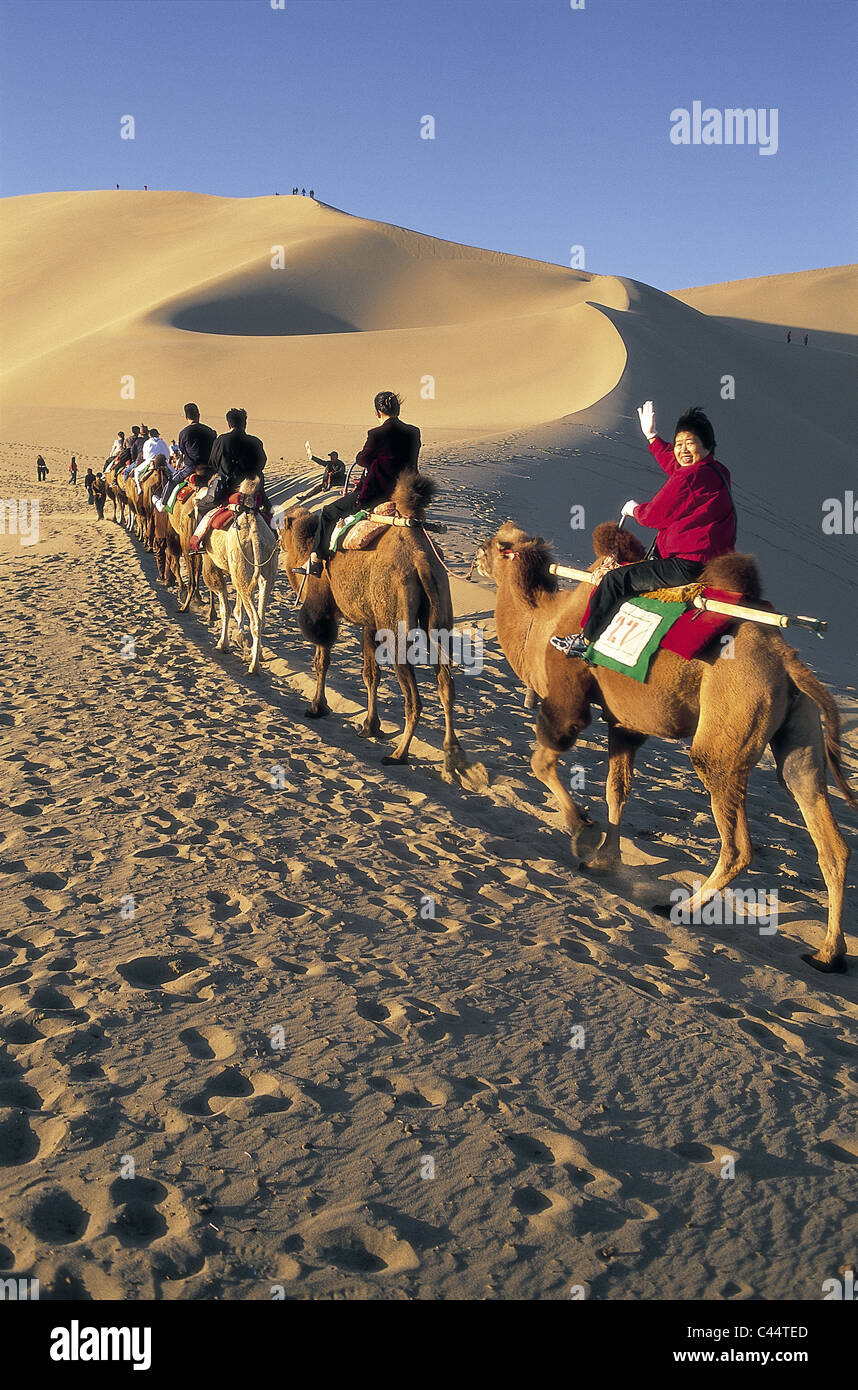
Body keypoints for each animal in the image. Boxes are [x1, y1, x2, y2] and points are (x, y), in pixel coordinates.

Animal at [200, 476, 279, 675]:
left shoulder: (212, 567)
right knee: (261, 616)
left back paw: (253, 667)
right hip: (265, 571)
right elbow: (237, 608)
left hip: (240, 567)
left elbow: (225, 609)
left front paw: (223, 644)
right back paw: (257, 655)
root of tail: (255, 536)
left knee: (256, 620)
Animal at [278, 473, 467, 775]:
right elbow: (371, 674)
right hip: (439, 614)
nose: (275, 540)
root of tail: (422, 561)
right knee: (446, 684)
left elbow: (322, 660)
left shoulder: (323, 610)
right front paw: (370, 725)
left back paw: (399, 754)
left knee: (413, 699)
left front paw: (317, 707)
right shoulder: (370, 622)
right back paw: (452, 753)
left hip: (396, 624)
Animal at [476, 520, 854, 973]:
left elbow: (542, 761)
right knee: (825, 833)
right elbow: (616, 790)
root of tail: (785, 658)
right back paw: (828, 953)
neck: (543, 620)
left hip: (726, 734)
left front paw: (582, 831)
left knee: (737, 843)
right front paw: (605, 859)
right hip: (801, 735)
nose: (475, 555)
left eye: (495, 545)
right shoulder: (624, 723)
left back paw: (682, 909)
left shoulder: (567, 700)